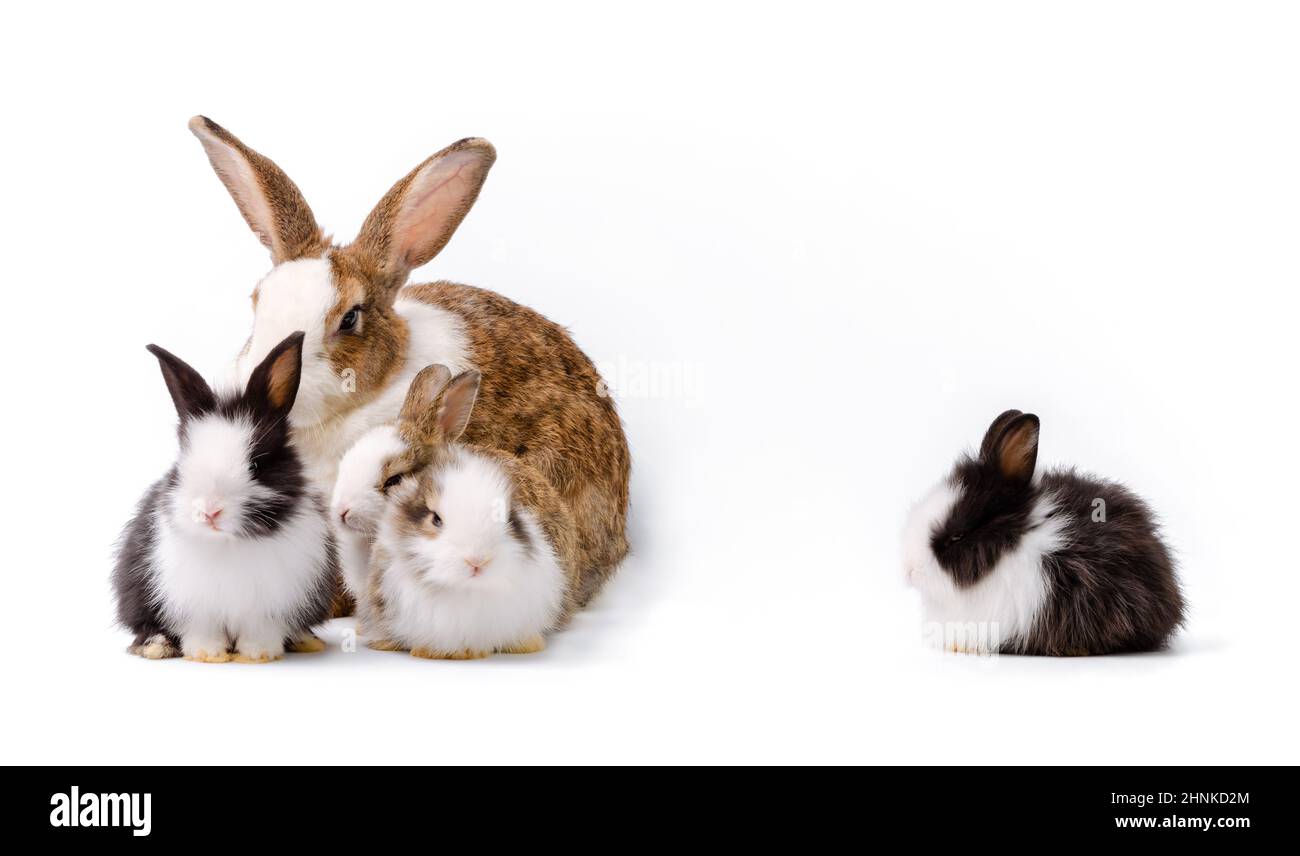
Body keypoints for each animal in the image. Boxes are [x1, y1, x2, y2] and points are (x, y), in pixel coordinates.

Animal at [112, 331, 340, 663]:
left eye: (256, 465)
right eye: (183, 462)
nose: (210, 511)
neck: (229, 544)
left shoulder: (269, 607)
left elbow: (261, 631)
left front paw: (257, 655)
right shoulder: (193, 607)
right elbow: (201, 630)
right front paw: (207, 654)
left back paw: (305, 641)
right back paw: (156, 645)